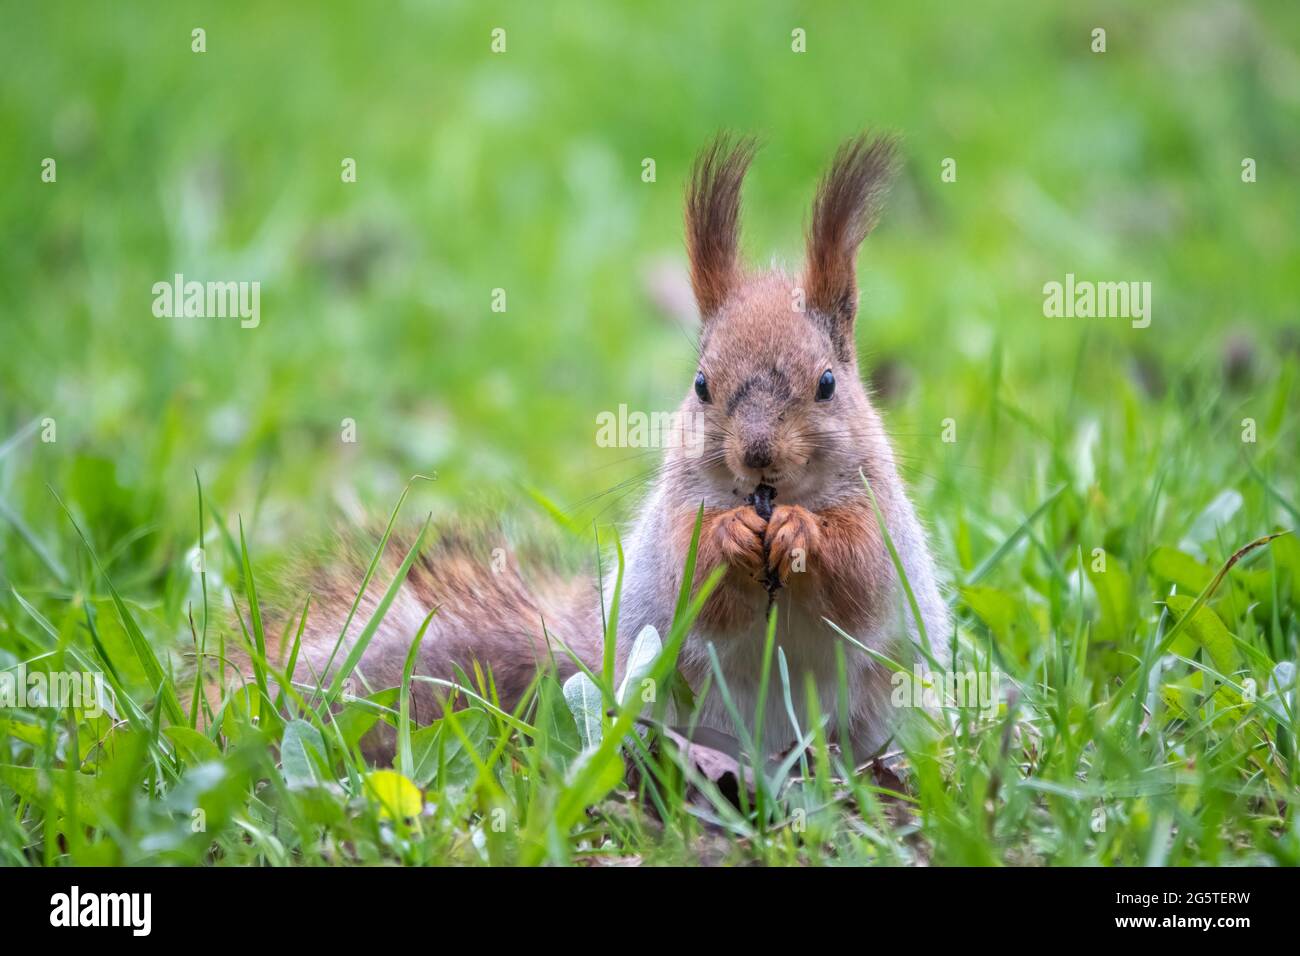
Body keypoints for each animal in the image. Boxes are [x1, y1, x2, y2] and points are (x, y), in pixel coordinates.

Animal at [216, 134, 949, 763]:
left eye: (827, 383)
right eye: (701, 385)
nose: (757, 455)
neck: (772, 495)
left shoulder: (879, 511)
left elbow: (859, 571)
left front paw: (802, 532)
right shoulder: (677, 515)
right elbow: (690, 574)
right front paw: (730, 537)